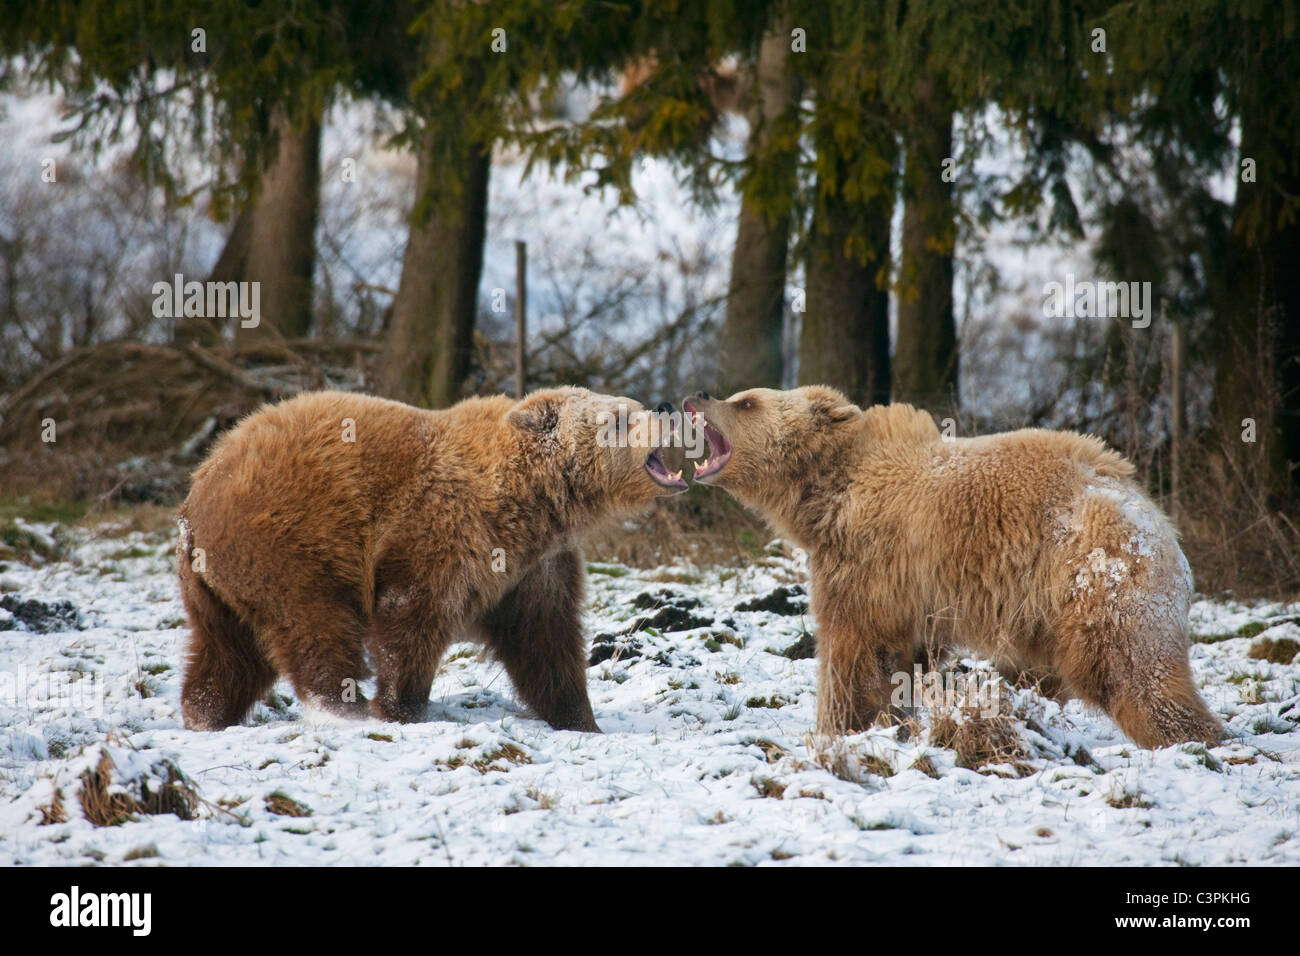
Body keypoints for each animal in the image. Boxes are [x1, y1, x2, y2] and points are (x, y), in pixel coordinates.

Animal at [177, 386, 687, 733]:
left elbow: (546, 639)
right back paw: (344, 710)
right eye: (618, 418)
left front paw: (580, 718)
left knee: (228, 652)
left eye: (631, 405)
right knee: (315, 624)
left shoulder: (536, 566)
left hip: (218, 583)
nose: (666, 408)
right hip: (289, 540)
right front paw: (401, 708)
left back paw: (206, 713)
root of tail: (198, 489)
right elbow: (412, 617)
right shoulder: (441, 532)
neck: (533, 503)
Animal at [681, 385, 1223, 749]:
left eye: (746, 402)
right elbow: (902, 658)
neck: (827, 494)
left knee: (1130, 664)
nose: (697, 396)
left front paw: (840, 726)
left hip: (1094, 572)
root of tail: (1150, 511)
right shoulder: (914, 594)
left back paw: (1192, 736)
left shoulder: (869, 562)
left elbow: (852, 648)